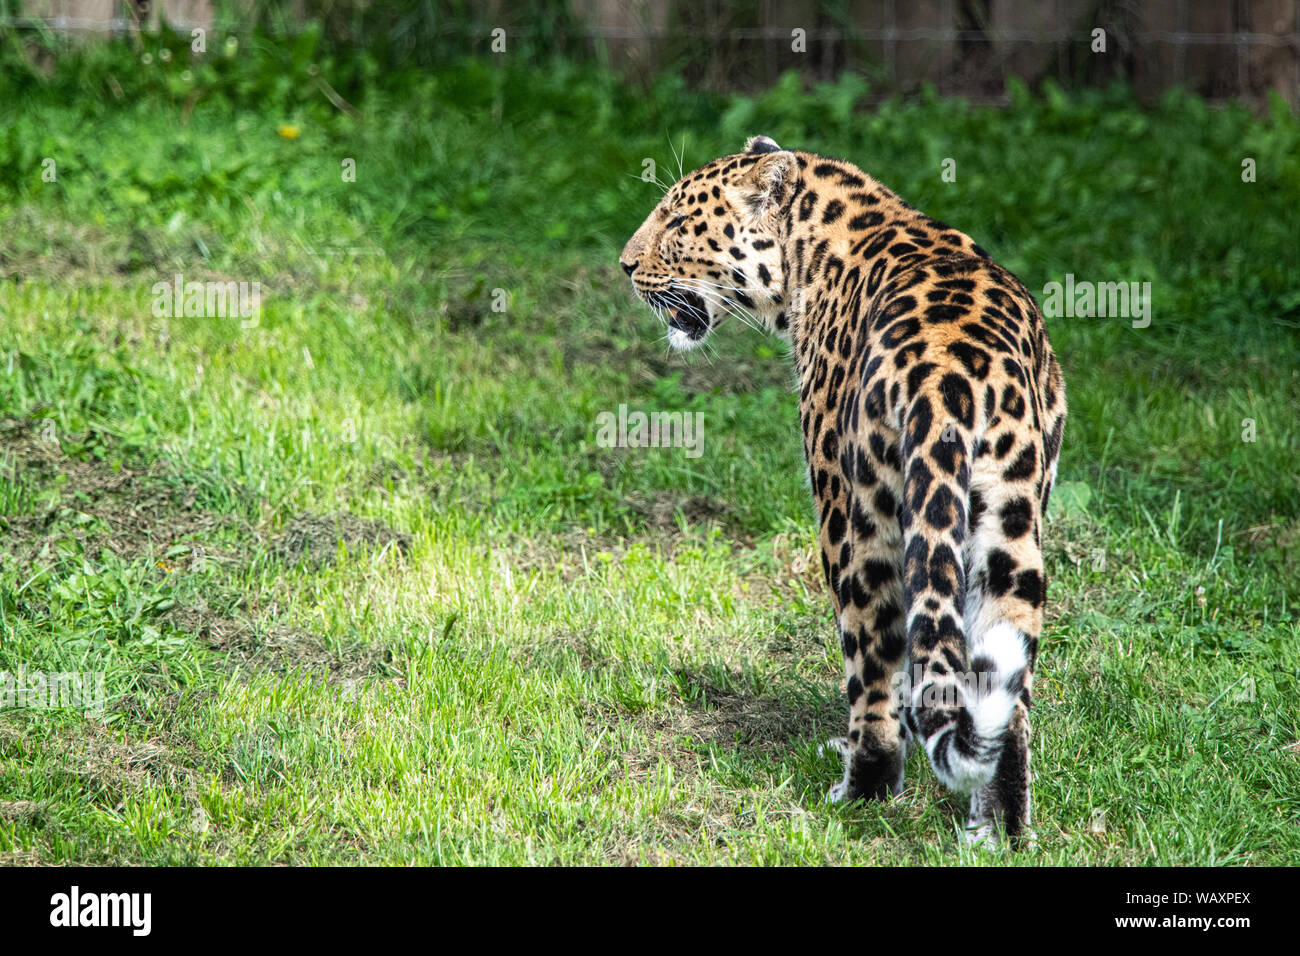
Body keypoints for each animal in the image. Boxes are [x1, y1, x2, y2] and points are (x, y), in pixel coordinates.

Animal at [619, 135, 1066, 845]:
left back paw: (861, 791)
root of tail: (949, 384)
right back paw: (998, 830)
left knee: (875, 669)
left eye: (680, 222)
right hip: (1011, 523)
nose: (625, 264)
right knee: (1007, 687)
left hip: (862, 523)